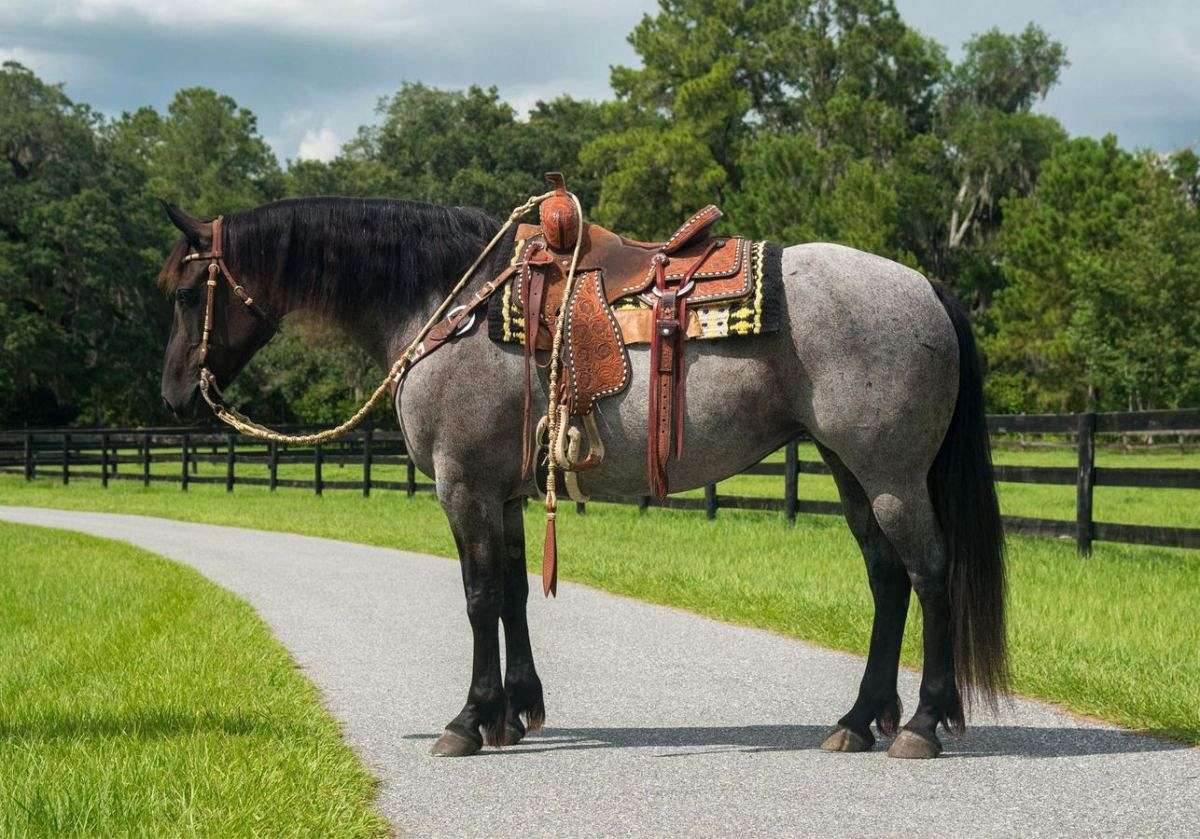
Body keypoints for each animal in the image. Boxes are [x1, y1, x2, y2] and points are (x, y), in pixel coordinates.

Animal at [157, 194, 1006, 760]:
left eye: (186, 291)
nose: (172, 392)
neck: (449, 305)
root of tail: (923, 286)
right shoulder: (502, 492)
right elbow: (511, 592)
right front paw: (513, 712)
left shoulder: (462, 486)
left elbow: (477, 596)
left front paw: (466, 720)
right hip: (852, 472)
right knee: (887, 581)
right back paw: (860, 719)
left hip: (892, 475)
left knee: (929, 575)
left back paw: (922, 723)